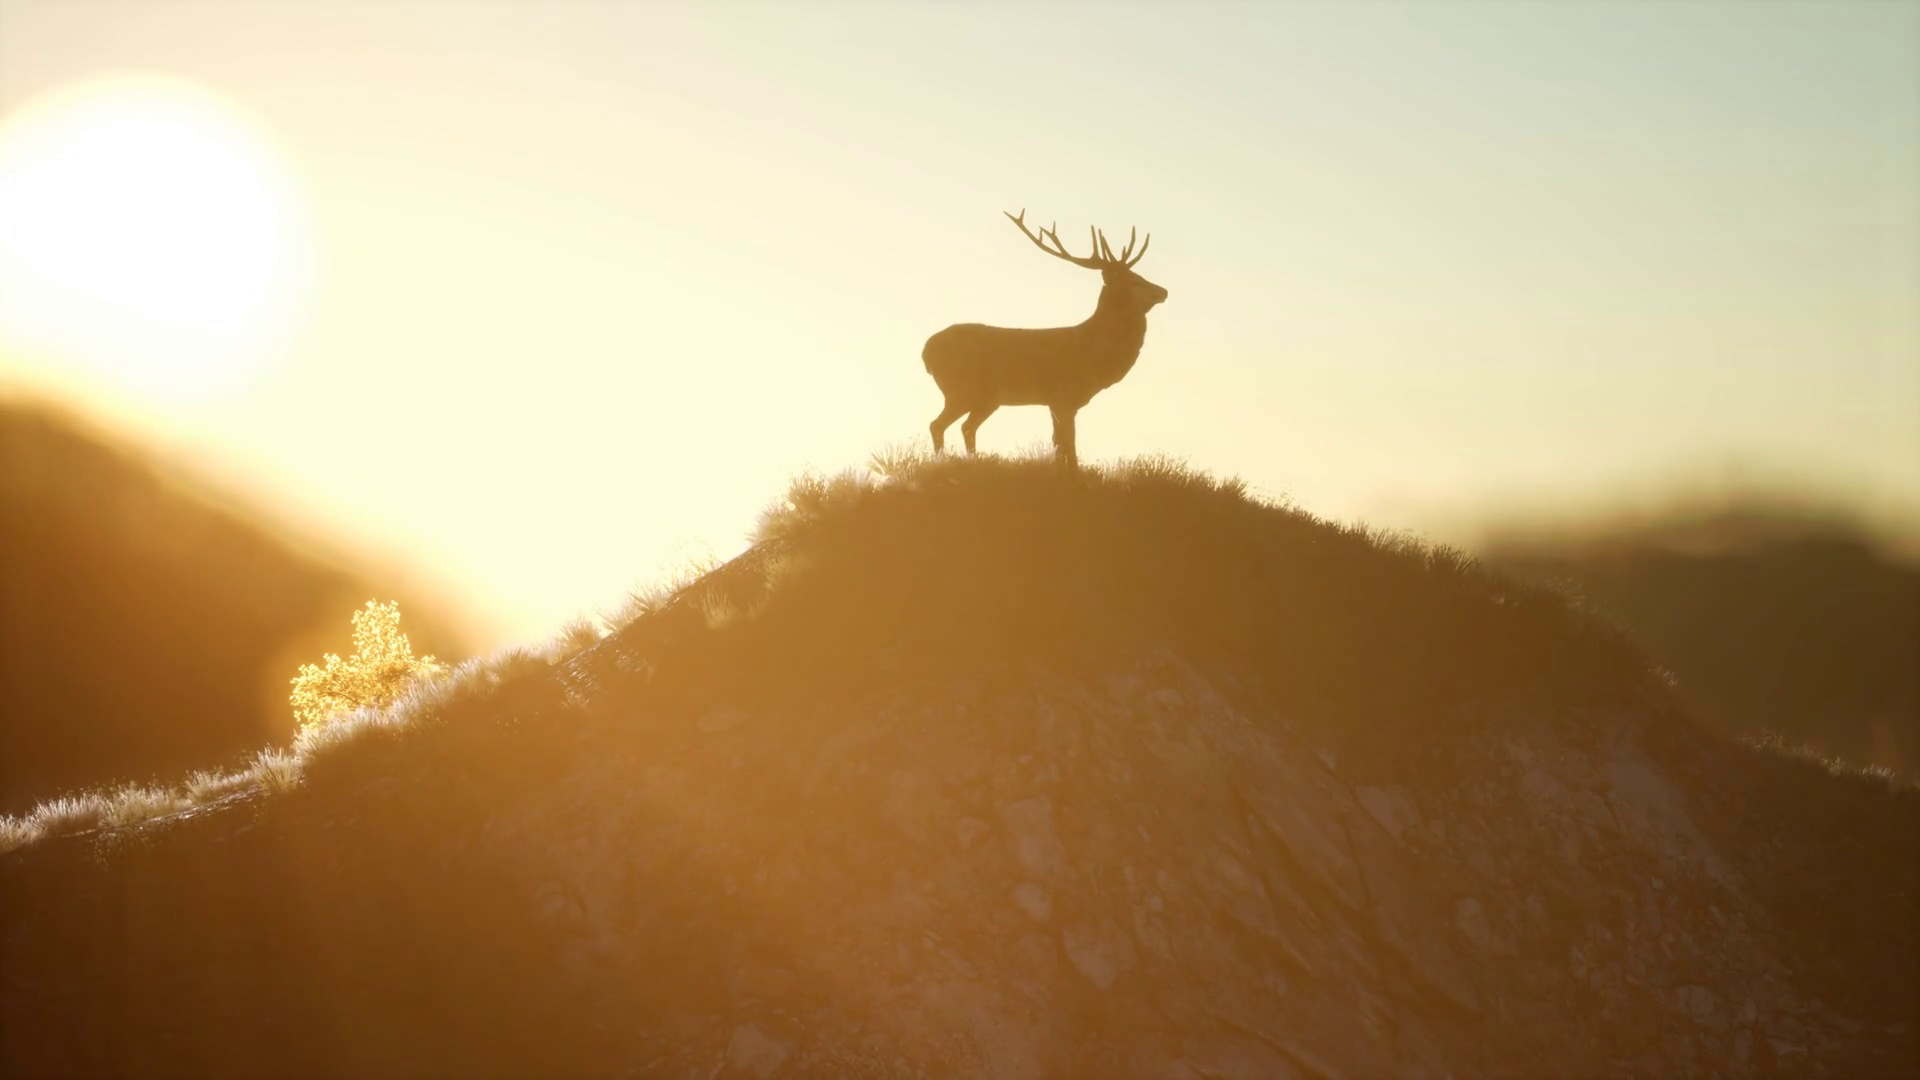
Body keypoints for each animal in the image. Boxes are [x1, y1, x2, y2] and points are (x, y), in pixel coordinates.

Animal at [922, 210, 1167, 469]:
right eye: (1134, 281)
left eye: (1140, 275)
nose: (1164, 291)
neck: (1092, 353)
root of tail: (925, 351)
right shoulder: (1062, 396)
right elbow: (1068, 445)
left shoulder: (1058, 402)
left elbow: (1059, 443)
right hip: (961, 389)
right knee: (938, 424)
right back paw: (941, 463)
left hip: (987, 399)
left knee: (966, 426)